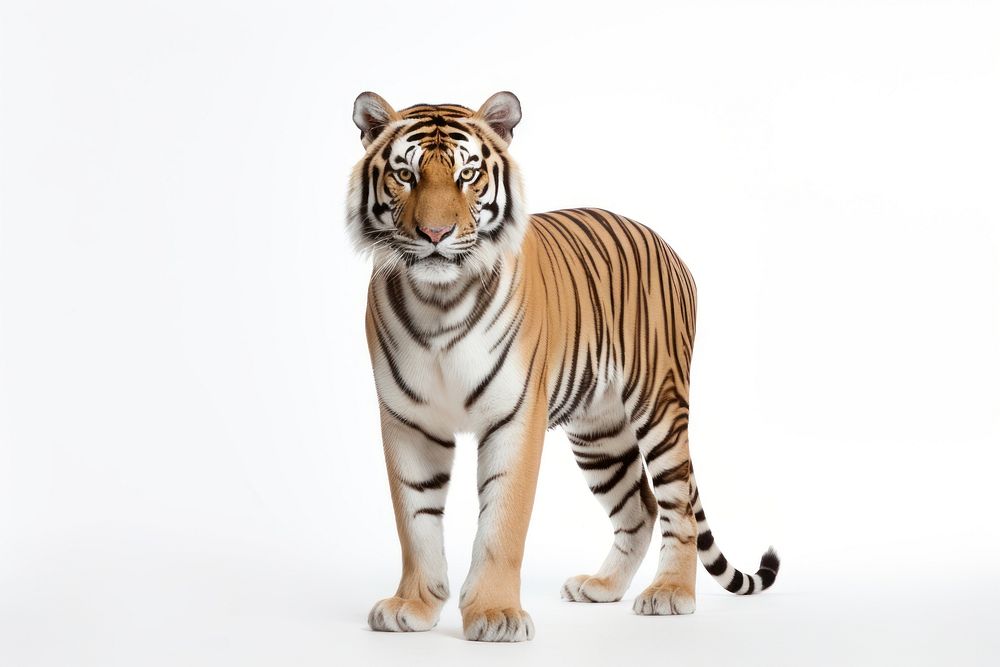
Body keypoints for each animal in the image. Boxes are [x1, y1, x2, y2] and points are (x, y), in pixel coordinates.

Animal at [346, 91, 780, 642]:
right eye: (406, 175)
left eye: (468, 175)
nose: (436, 233)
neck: (437, 300)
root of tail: (664, 243)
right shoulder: (407, 421)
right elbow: (415, 520)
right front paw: (413, 606)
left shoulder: (514, 417)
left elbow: (502, 521)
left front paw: (495, 615)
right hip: (600, 432)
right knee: (640, 507)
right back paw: (603, 586)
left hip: (660, 404)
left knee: (677, 503)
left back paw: (670, 593)